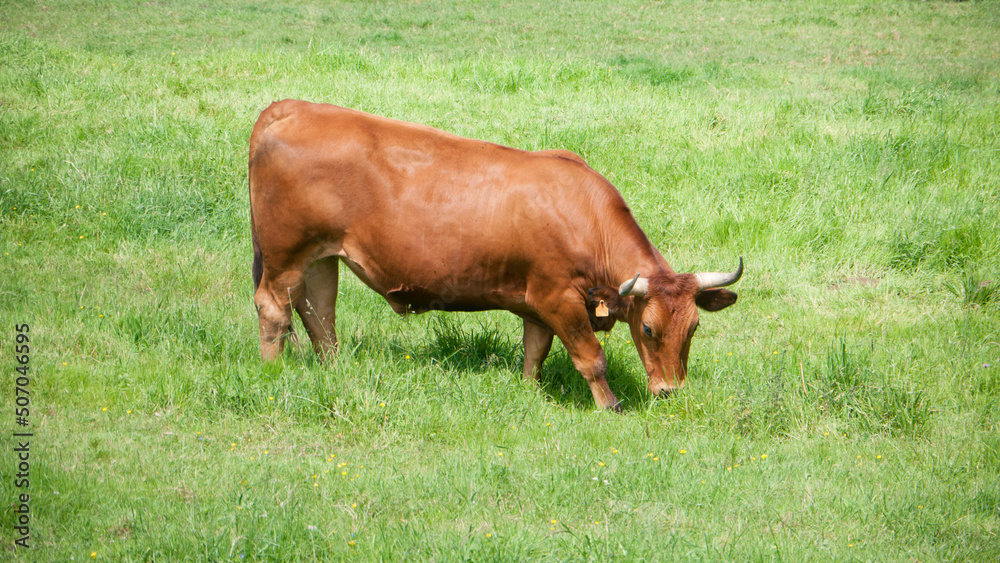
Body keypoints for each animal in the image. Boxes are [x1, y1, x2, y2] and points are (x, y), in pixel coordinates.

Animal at [248, 100, 742, 410]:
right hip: (285, 256)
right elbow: (591, 356)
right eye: (648, 328)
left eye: (694, 327)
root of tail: (291, 108)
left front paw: (529, 392)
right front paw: (611, 405)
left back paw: (333, 370)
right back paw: (272, 371)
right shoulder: (558, 298)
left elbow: (534, 353)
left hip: (321, 257)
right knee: (274, 307)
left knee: (319, 313)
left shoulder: (538, 303)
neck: (583, 214)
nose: (670, 392)